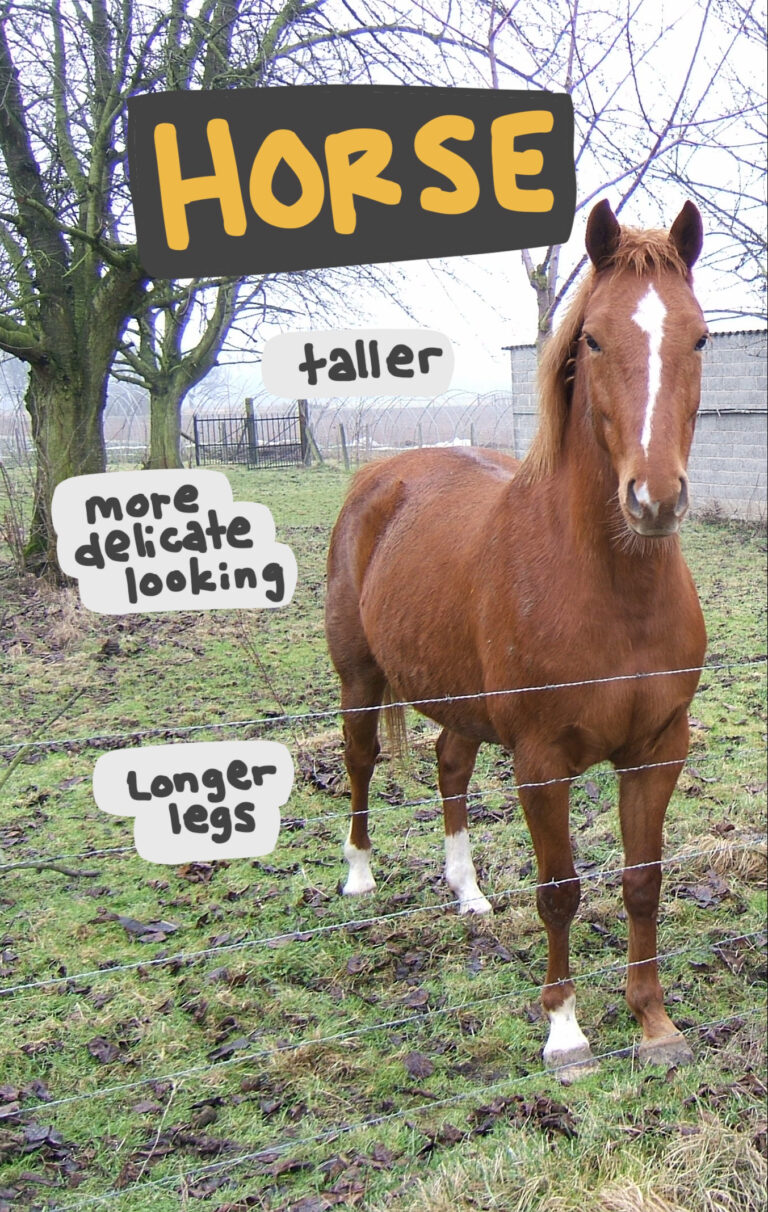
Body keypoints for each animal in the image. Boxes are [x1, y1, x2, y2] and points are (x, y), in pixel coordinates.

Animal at [325, 199, 708, 1078]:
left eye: (701, 337)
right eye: (593, 339)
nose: (654, 499)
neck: (612, 590)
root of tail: (380, 479)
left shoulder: (657, 750)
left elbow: (643, 880)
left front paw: (654, 1023)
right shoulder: (540, 760)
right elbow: (560, 890)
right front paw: (565, 1032)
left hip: (459, 697)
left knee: (449, 766)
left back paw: (467, 892)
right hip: (360, 676)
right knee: (360, 759)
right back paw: (358, 878)